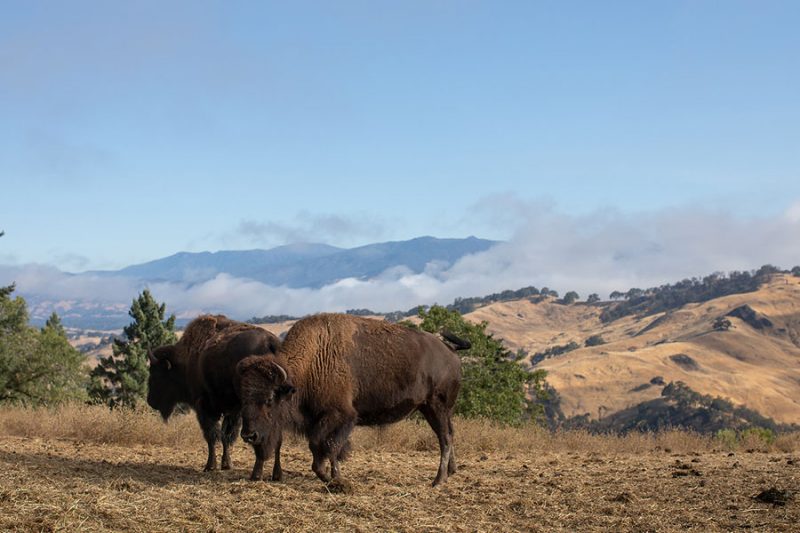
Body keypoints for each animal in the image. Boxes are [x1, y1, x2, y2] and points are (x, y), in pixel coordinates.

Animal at [147, 314, 281, 475]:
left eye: (156, 374)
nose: (150, 401)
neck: (186, 359)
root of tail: (271, 343)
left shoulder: (204, 406)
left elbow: (212, 436)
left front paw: (210, 466)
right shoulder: (232, 410)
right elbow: (225, 436)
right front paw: (226, 464)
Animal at [237, 313, 468, 487]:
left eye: (269, 399)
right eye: (243, 398)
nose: (249, 435)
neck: (313, 361)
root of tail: (449, 350)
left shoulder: (342, 416)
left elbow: (328, 446)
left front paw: (336, 480)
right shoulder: (318, 420)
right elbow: (320, 447)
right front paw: (332, 476)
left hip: (437, 406)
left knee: (445, 437)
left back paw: (438, 480)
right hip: (433, 409)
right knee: (449, 433)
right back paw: (451, 472)